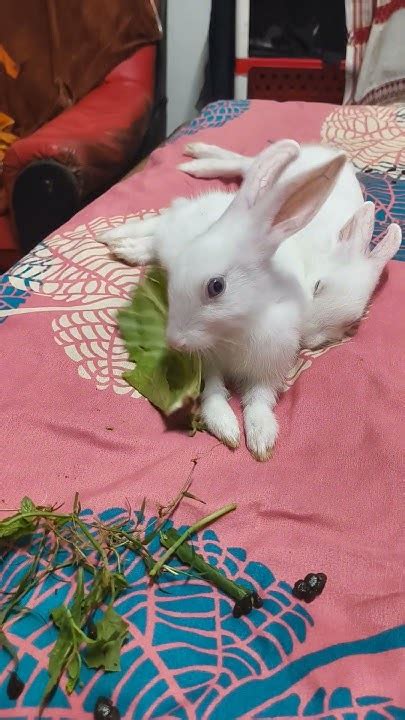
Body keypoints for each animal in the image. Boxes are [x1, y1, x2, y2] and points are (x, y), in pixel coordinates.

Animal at [100, 140, 347, 459]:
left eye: (216, 286)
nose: (175, 342)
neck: (238, 328)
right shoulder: (210, 366)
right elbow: (214, 394)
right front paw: (226, 428)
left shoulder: (270, 367)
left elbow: (259, 401)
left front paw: (261, 440)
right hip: (170, 230)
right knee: (155, 227)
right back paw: (118, 240)